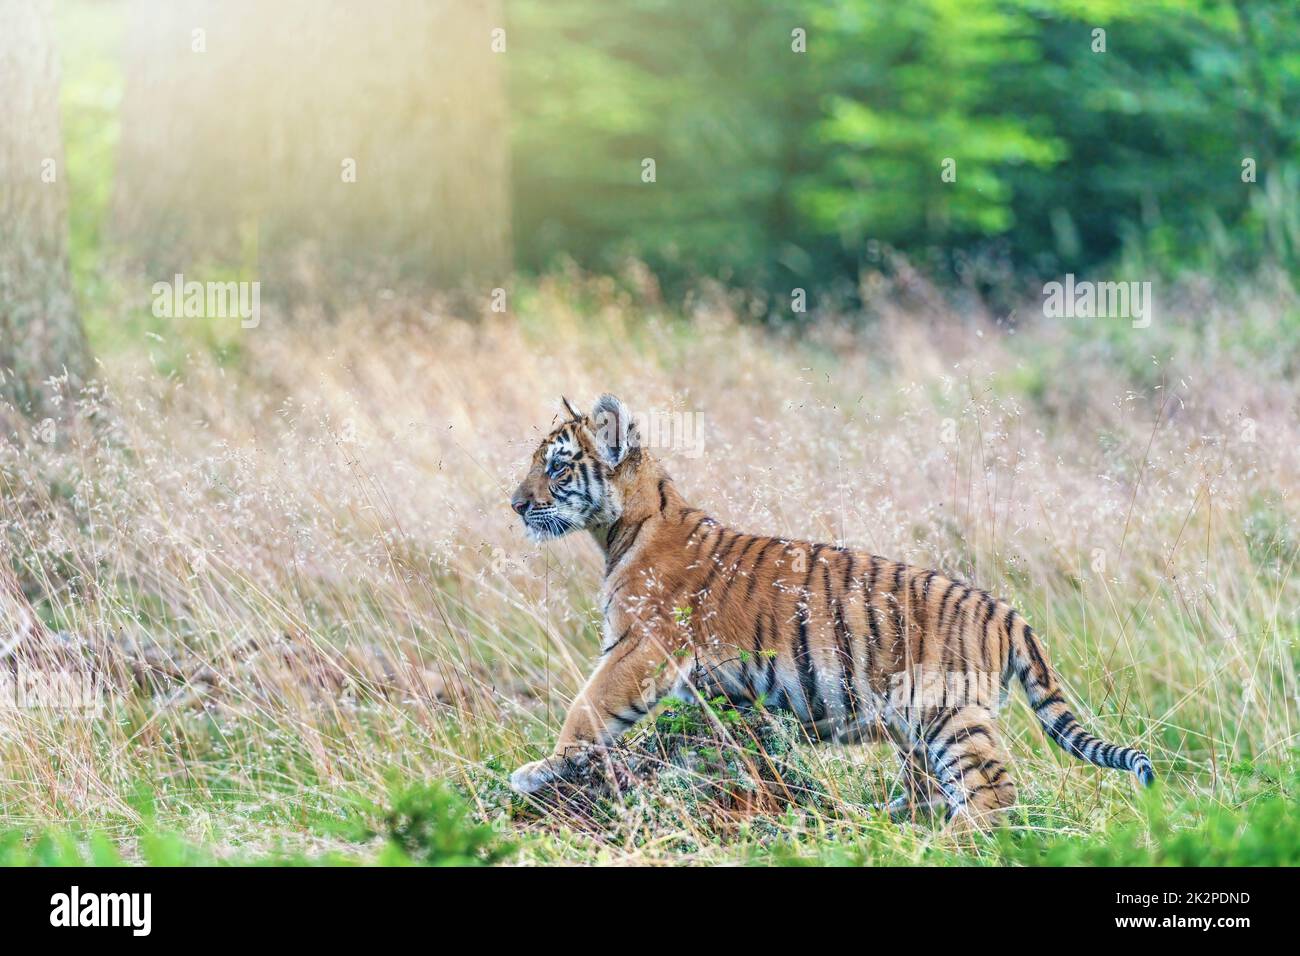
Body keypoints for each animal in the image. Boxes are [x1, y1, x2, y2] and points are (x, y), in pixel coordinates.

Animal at [507, 394, 1155, 829]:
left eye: (557, 466)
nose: (514, 505)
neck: (619, 527)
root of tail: (1003, 610)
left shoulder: (639, 648)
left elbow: (586, 708)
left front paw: (540, 767)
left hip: (949, 713)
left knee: (992, 795)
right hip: (920, 730)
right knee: (935, 792)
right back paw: (893, 823)